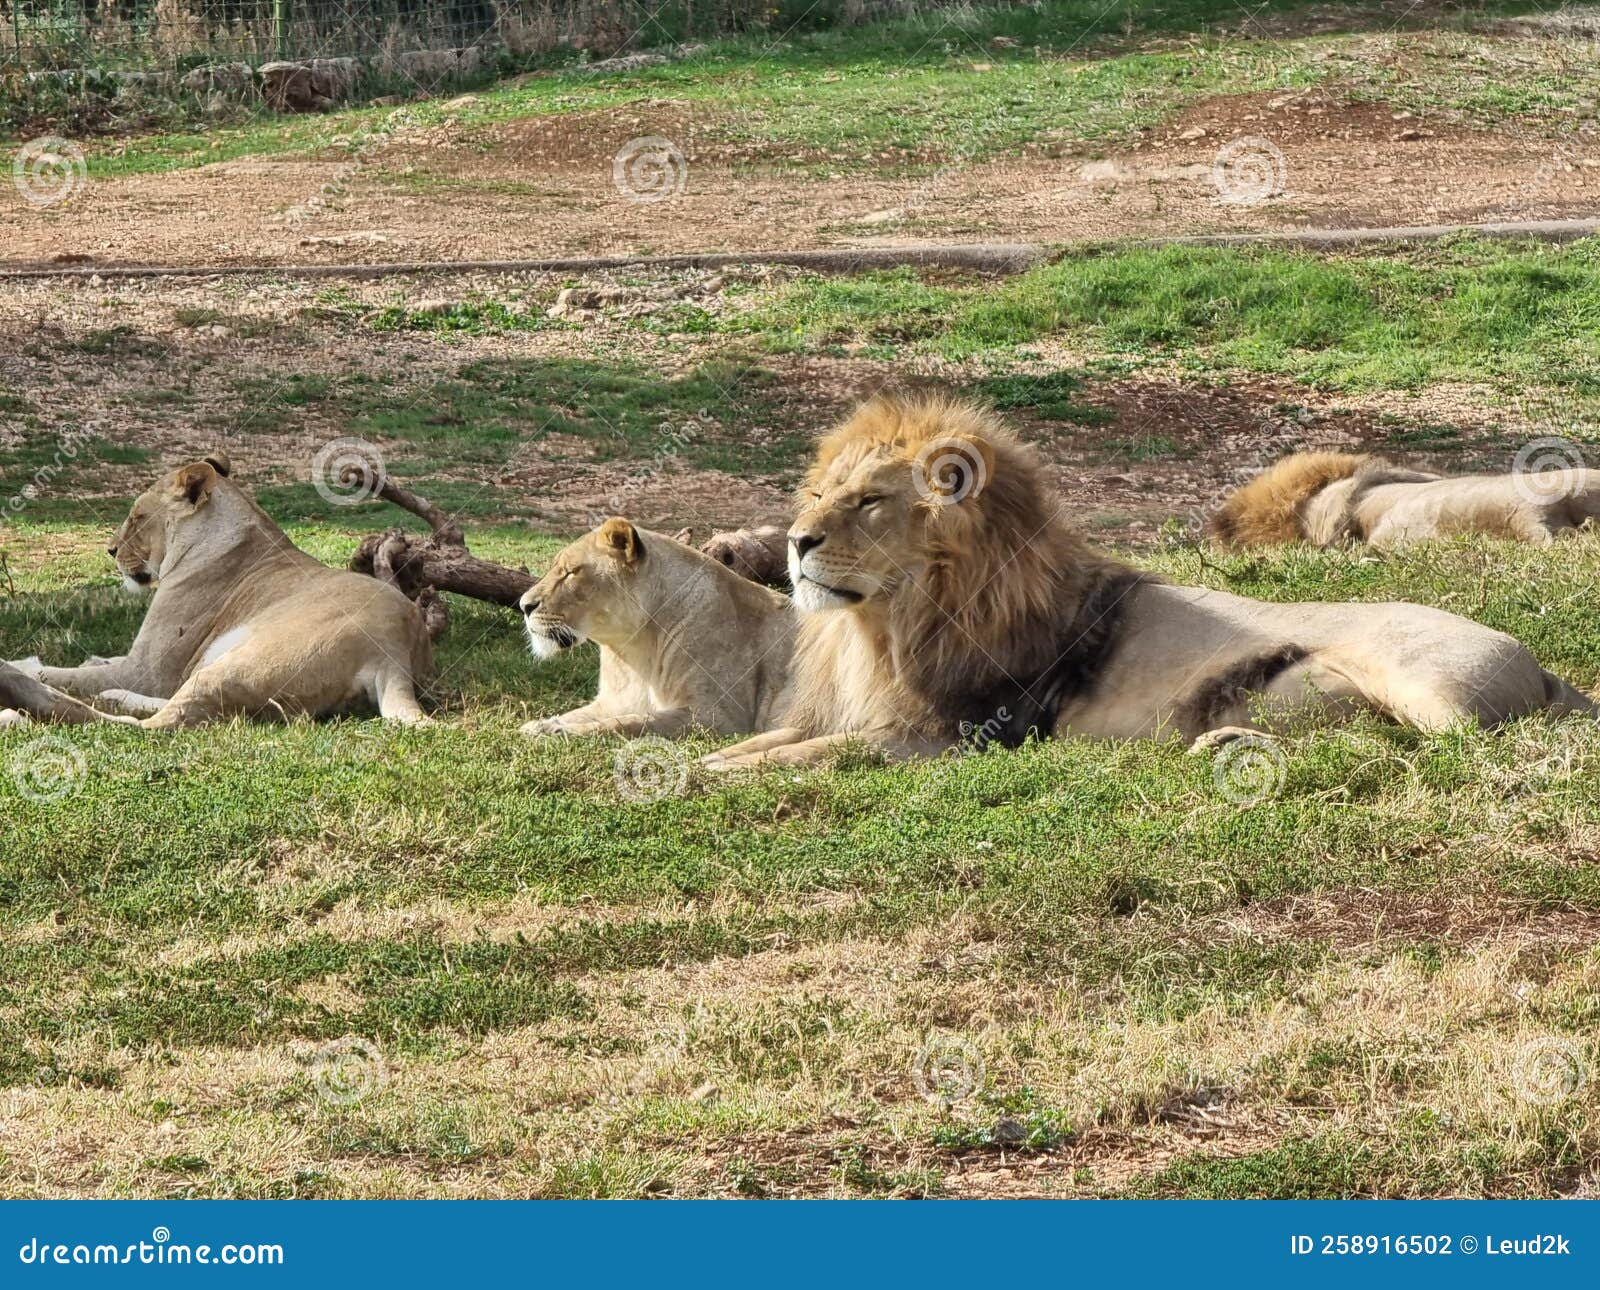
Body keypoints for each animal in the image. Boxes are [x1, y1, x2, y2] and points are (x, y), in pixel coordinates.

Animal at [6, 452, 432, 729]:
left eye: (138, 517)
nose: (111, 550)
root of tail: (394, 650)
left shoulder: (147, 670)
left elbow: (66, 675)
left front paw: (29, 666)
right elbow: (97, 663)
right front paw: (87, 660)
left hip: (241, 661)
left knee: (150, 724)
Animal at [519, 517, 794, 738]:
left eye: (571, 572)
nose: (524, 605)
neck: (634, 649)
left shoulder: (717, 716)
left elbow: (630, 722)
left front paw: (557, 731)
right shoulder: (611, 702)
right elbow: (578, 714)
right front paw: (541, 724)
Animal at [702, 395, 1595, 770]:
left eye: (870, 501)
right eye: (818, 494)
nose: (796, 542)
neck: (884, 628)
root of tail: (1548, 669)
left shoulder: (948, 736)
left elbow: (783, 761)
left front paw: (697, 785)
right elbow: (752, 746)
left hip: (1431, 682)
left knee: (1450, 748)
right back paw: (1226, 744)